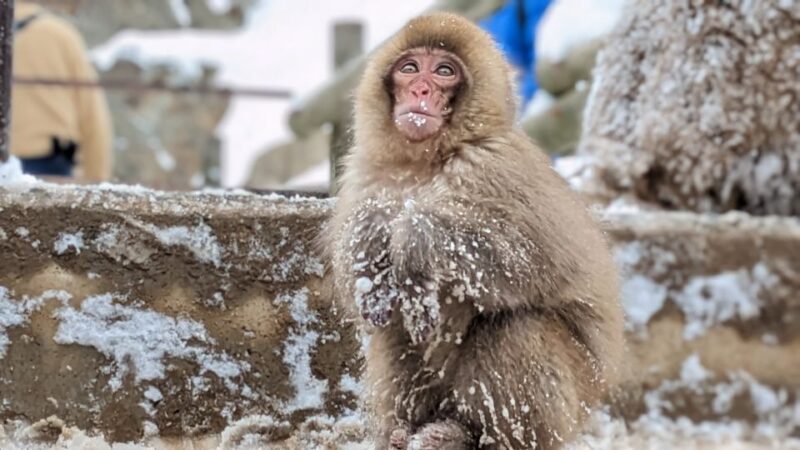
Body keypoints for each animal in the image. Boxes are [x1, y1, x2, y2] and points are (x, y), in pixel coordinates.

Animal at [324, 13, 624, 450]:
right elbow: (357, 283)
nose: (421, 89)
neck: (426, 161)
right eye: (410, 68)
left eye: (444, 72)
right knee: (394, 331)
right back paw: (406, 433)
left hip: (572, 402)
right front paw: (371, 231)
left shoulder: (495, 168)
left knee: (515, 326)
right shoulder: (365, 175)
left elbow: (527, 262)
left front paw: (412, 239)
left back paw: (472, 437)